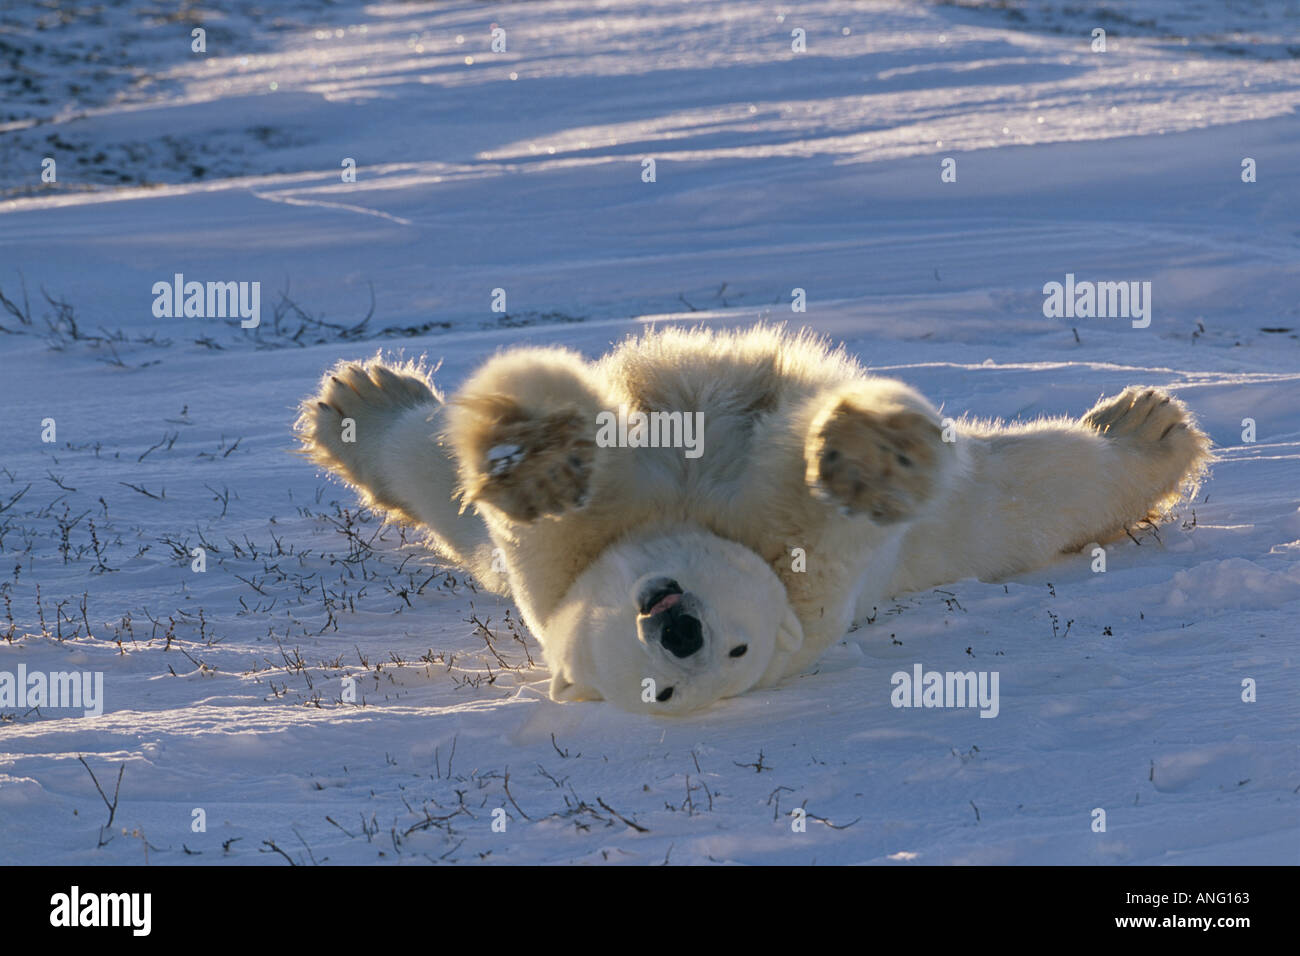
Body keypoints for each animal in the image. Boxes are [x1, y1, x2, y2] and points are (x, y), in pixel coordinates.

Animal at [295, 324, 1211, 713]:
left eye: (739, 650)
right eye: (658, 690)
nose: (681, 632)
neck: (679, 527)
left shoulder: (802, 552)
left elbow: (822, 484)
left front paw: (868, 456)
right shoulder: (559, 554)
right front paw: (542, 460)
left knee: (1022, 496)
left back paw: (1146, 425)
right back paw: (360, 404)